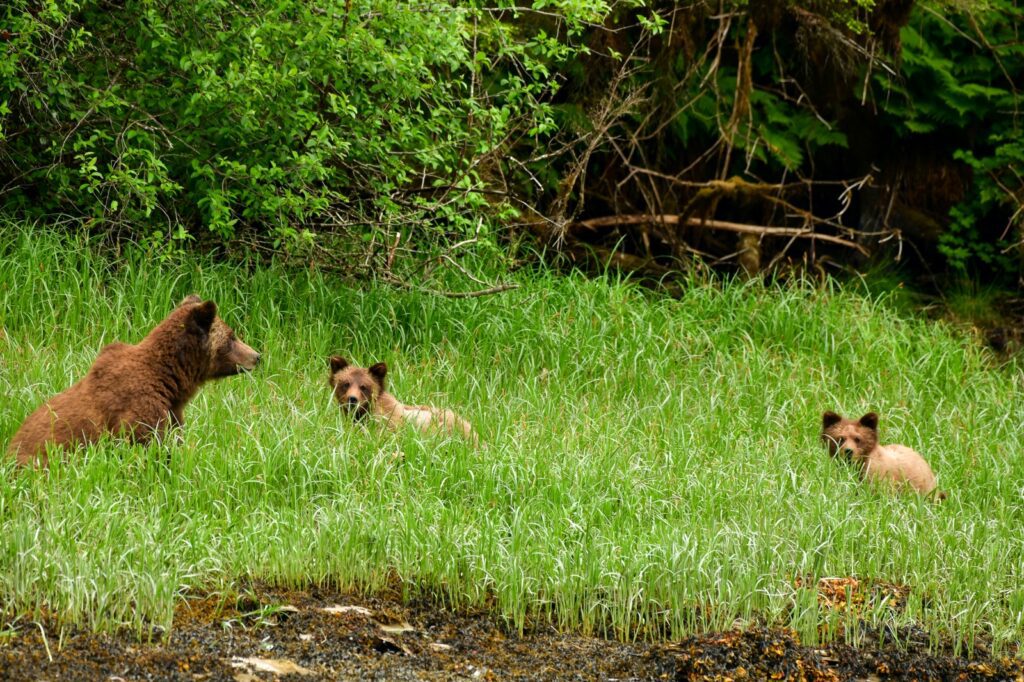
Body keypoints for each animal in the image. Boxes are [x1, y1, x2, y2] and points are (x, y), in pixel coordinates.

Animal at [7, 295, 260, 468]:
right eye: (232, 337)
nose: (257, 356)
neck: (172, 382)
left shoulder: (172, 412)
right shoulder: (139, 410)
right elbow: (147, 449)